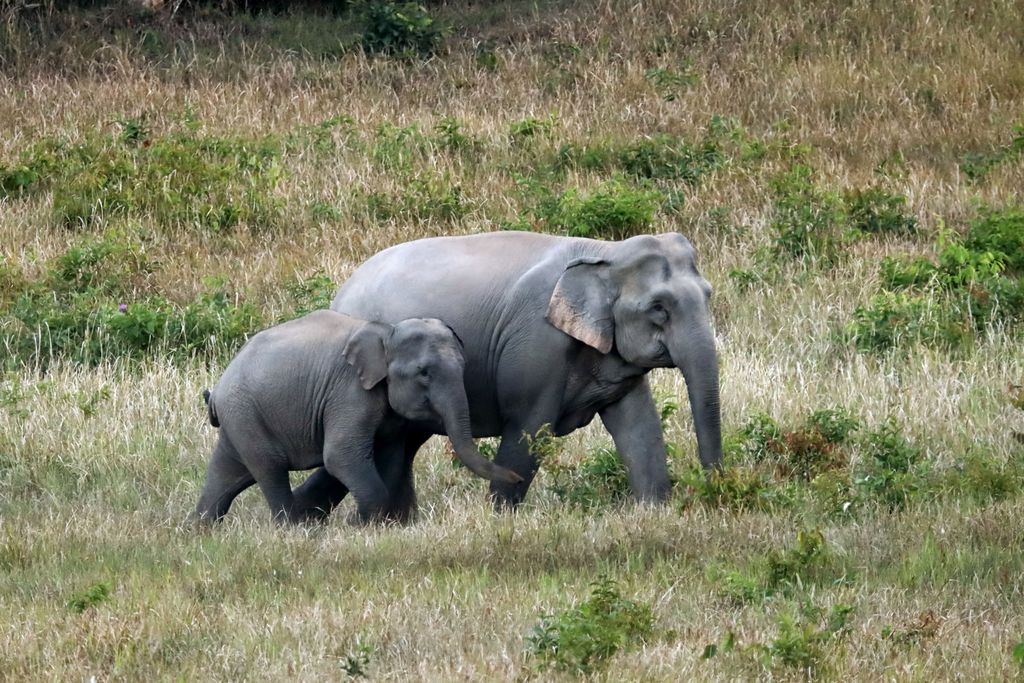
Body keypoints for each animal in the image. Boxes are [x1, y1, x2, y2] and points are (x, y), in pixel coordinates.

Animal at [193, 310, 522, 525]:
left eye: (464, 365)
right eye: (424, 373)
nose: (516, 476)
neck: (387, 333)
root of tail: (217, 391)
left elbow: (389, 455)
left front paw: (379, 525)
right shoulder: (348, 393)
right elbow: (340, 455)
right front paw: (359, 525)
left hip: (239, 420)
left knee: (228, 474)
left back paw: (199, 529)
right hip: (245, 415)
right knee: (269, 469)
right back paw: (293, 528)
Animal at [293, 231, 722, 518]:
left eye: (708, 294)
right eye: (659, 308)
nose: (713, 486)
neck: (605, 251)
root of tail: (342, 290)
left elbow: (639, 426)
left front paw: (655, 512)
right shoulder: (536, 344)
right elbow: (529, 429)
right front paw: (500, 516)